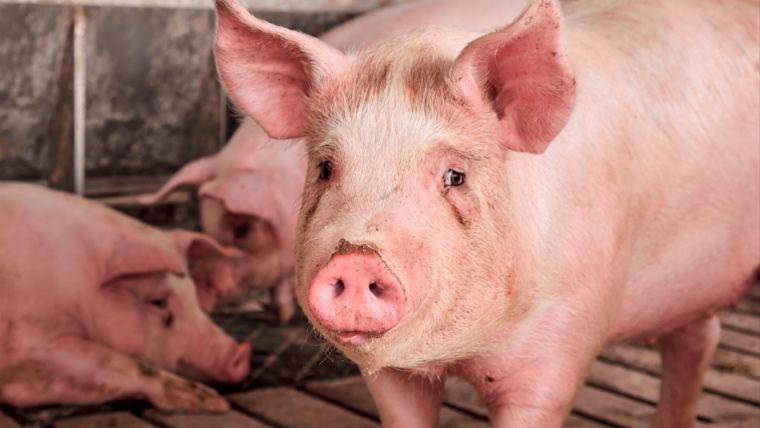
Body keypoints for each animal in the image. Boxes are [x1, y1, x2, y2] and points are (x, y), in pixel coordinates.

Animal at [0, 182, 251, 412]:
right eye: (158, 301)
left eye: (193, 295)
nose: (241, 352)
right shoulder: (28, 343)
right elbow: (121, 362)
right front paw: (213, 402)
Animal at [214, 0, 760, 426]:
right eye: (327, 167)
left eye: (454, 175)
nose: (356, 256)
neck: (463, 352)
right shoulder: (393, 375)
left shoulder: (563, 341)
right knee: (696, 338)